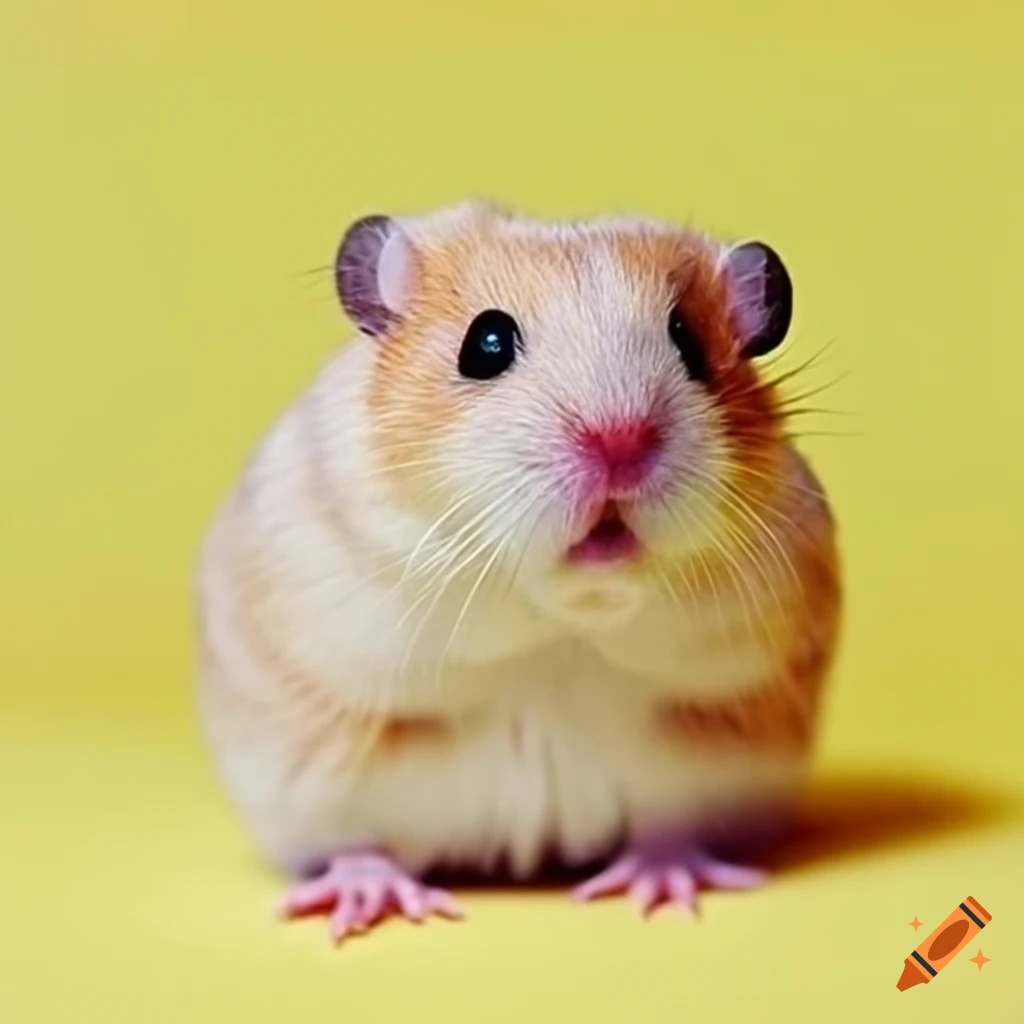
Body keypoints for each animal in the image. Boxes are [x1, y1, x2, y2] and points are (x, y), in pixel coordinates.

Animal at [194, 199, 841, 943]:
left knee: (663, 828)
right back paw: (374, 899)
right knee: (357, 845)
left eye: (690, 344)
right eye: (486, 343)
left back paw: (658, 883)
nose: (620, 442)